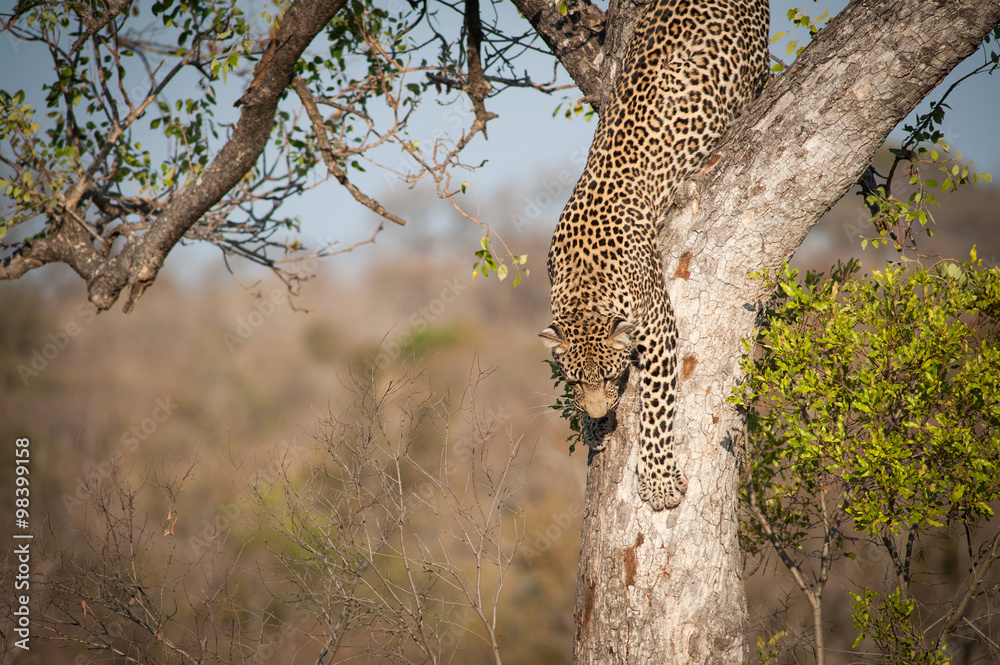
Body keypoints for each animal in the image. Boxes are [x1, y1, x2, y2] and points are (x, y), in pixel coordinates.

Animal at [541, 0, 769, 510]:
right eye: (574, 381)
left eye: (611, 377)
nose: (599, 411)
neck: (584, 282)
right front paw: (593, 427)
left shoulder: (661, 330)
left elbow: (657, 410)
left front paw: (660, 481)